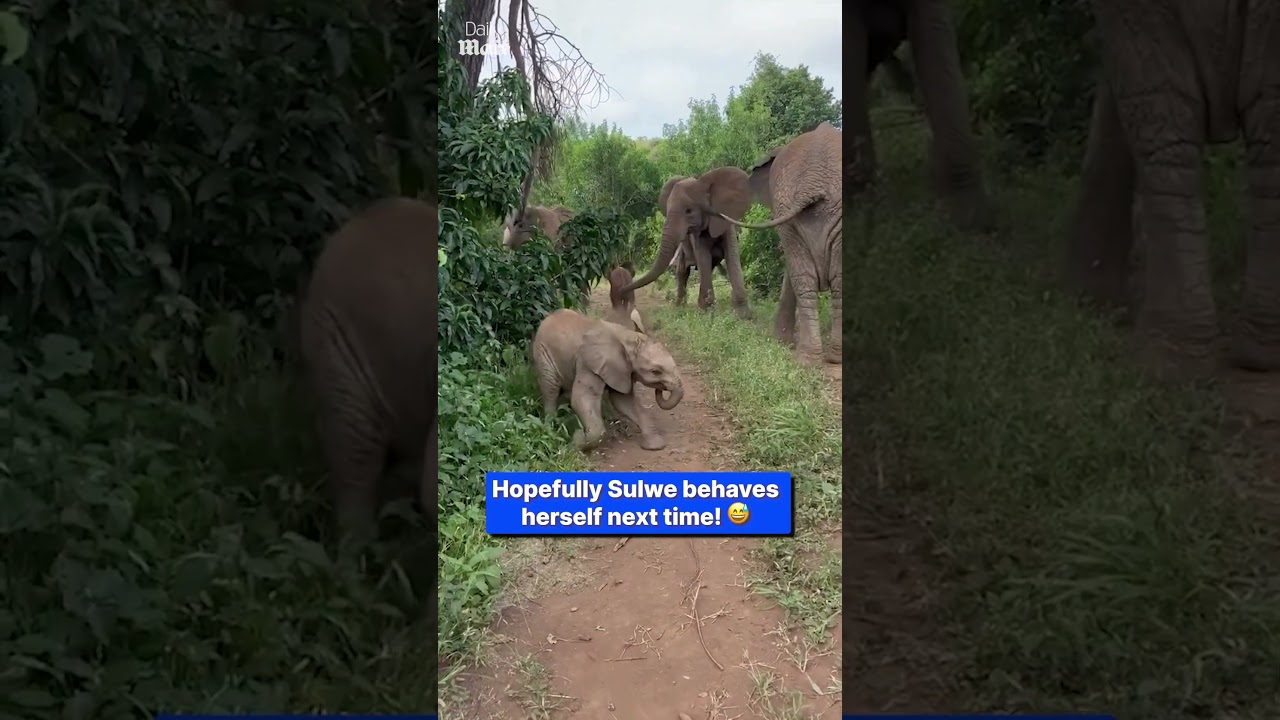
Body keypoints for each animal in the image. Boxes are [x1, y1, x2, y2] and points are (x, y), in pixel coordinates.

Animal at [532, 308, 683, 451]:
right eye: (655, 371)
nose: (660, 389)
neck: (628, 339)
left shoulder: (621, 370)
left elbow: (624, 401)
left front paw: (654, 446)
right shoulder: (588, 364)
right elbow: (582, 398)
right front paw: (577, 439)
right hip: (543, 353)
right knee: (550, 389)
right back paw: (550, 430)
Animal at [619, 168, 753, 319]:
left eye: (689, 210)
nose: (620, 291)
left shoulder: (726, 223)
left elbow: (732, 256)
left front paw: (744, 315)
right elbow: (703, 258)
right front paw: (706, 312)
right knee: (683, 270)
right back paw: (679, 305)